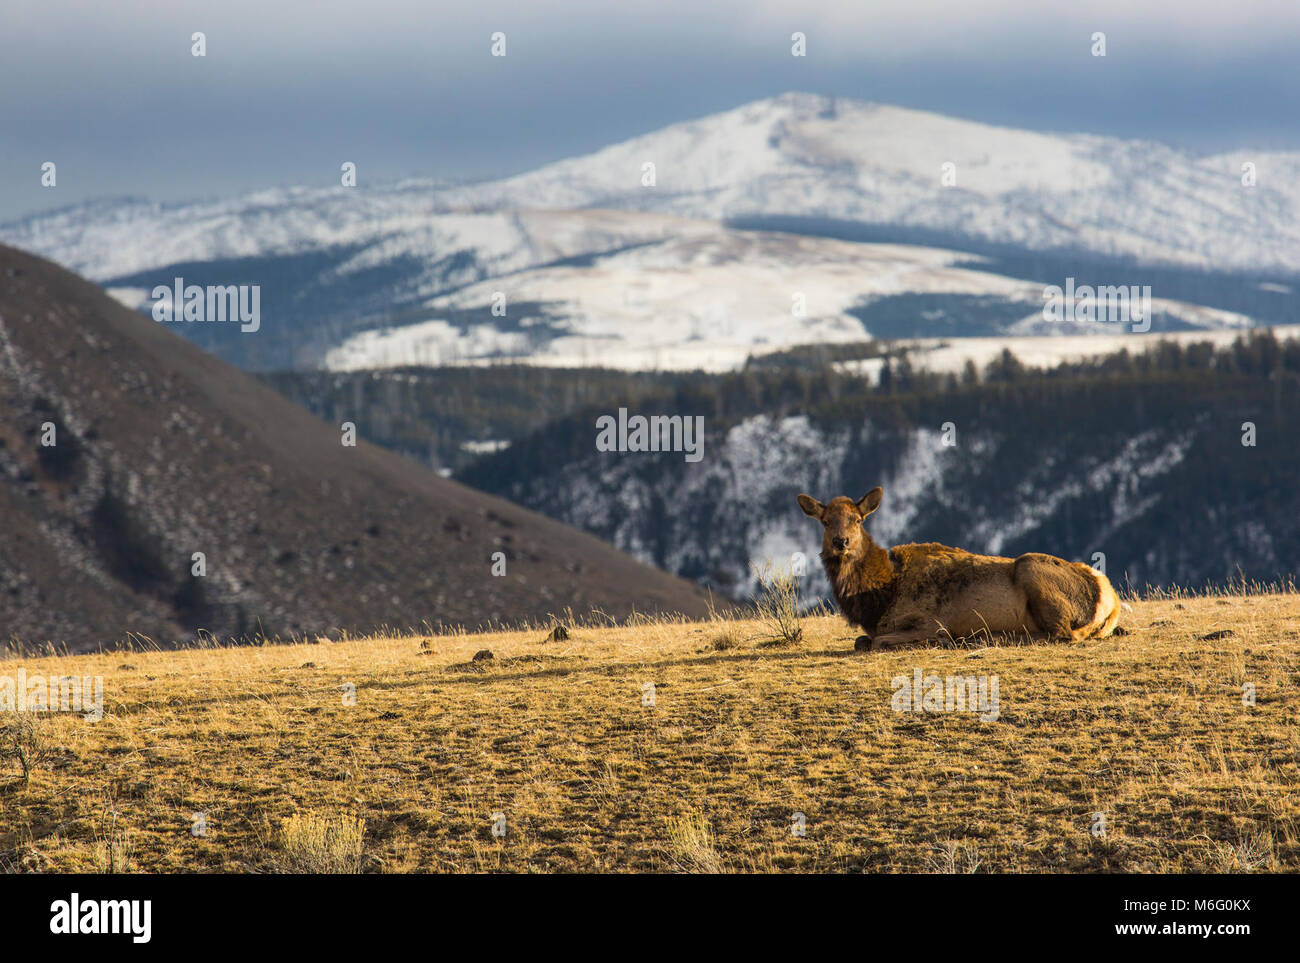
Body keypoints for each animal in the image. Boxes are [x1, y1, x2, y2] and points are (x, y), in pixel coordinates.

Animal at [797, 486, 1122, 652]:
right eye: (825, 521)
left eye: (857, 519)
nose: (840, 542)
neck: (878, 597)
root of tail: (1112, 600)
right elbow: (861, 640)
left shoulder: (929, 620)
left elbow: (877, 641)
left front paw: (939, 641)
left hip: (1032, 569)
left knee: (1062, 634)